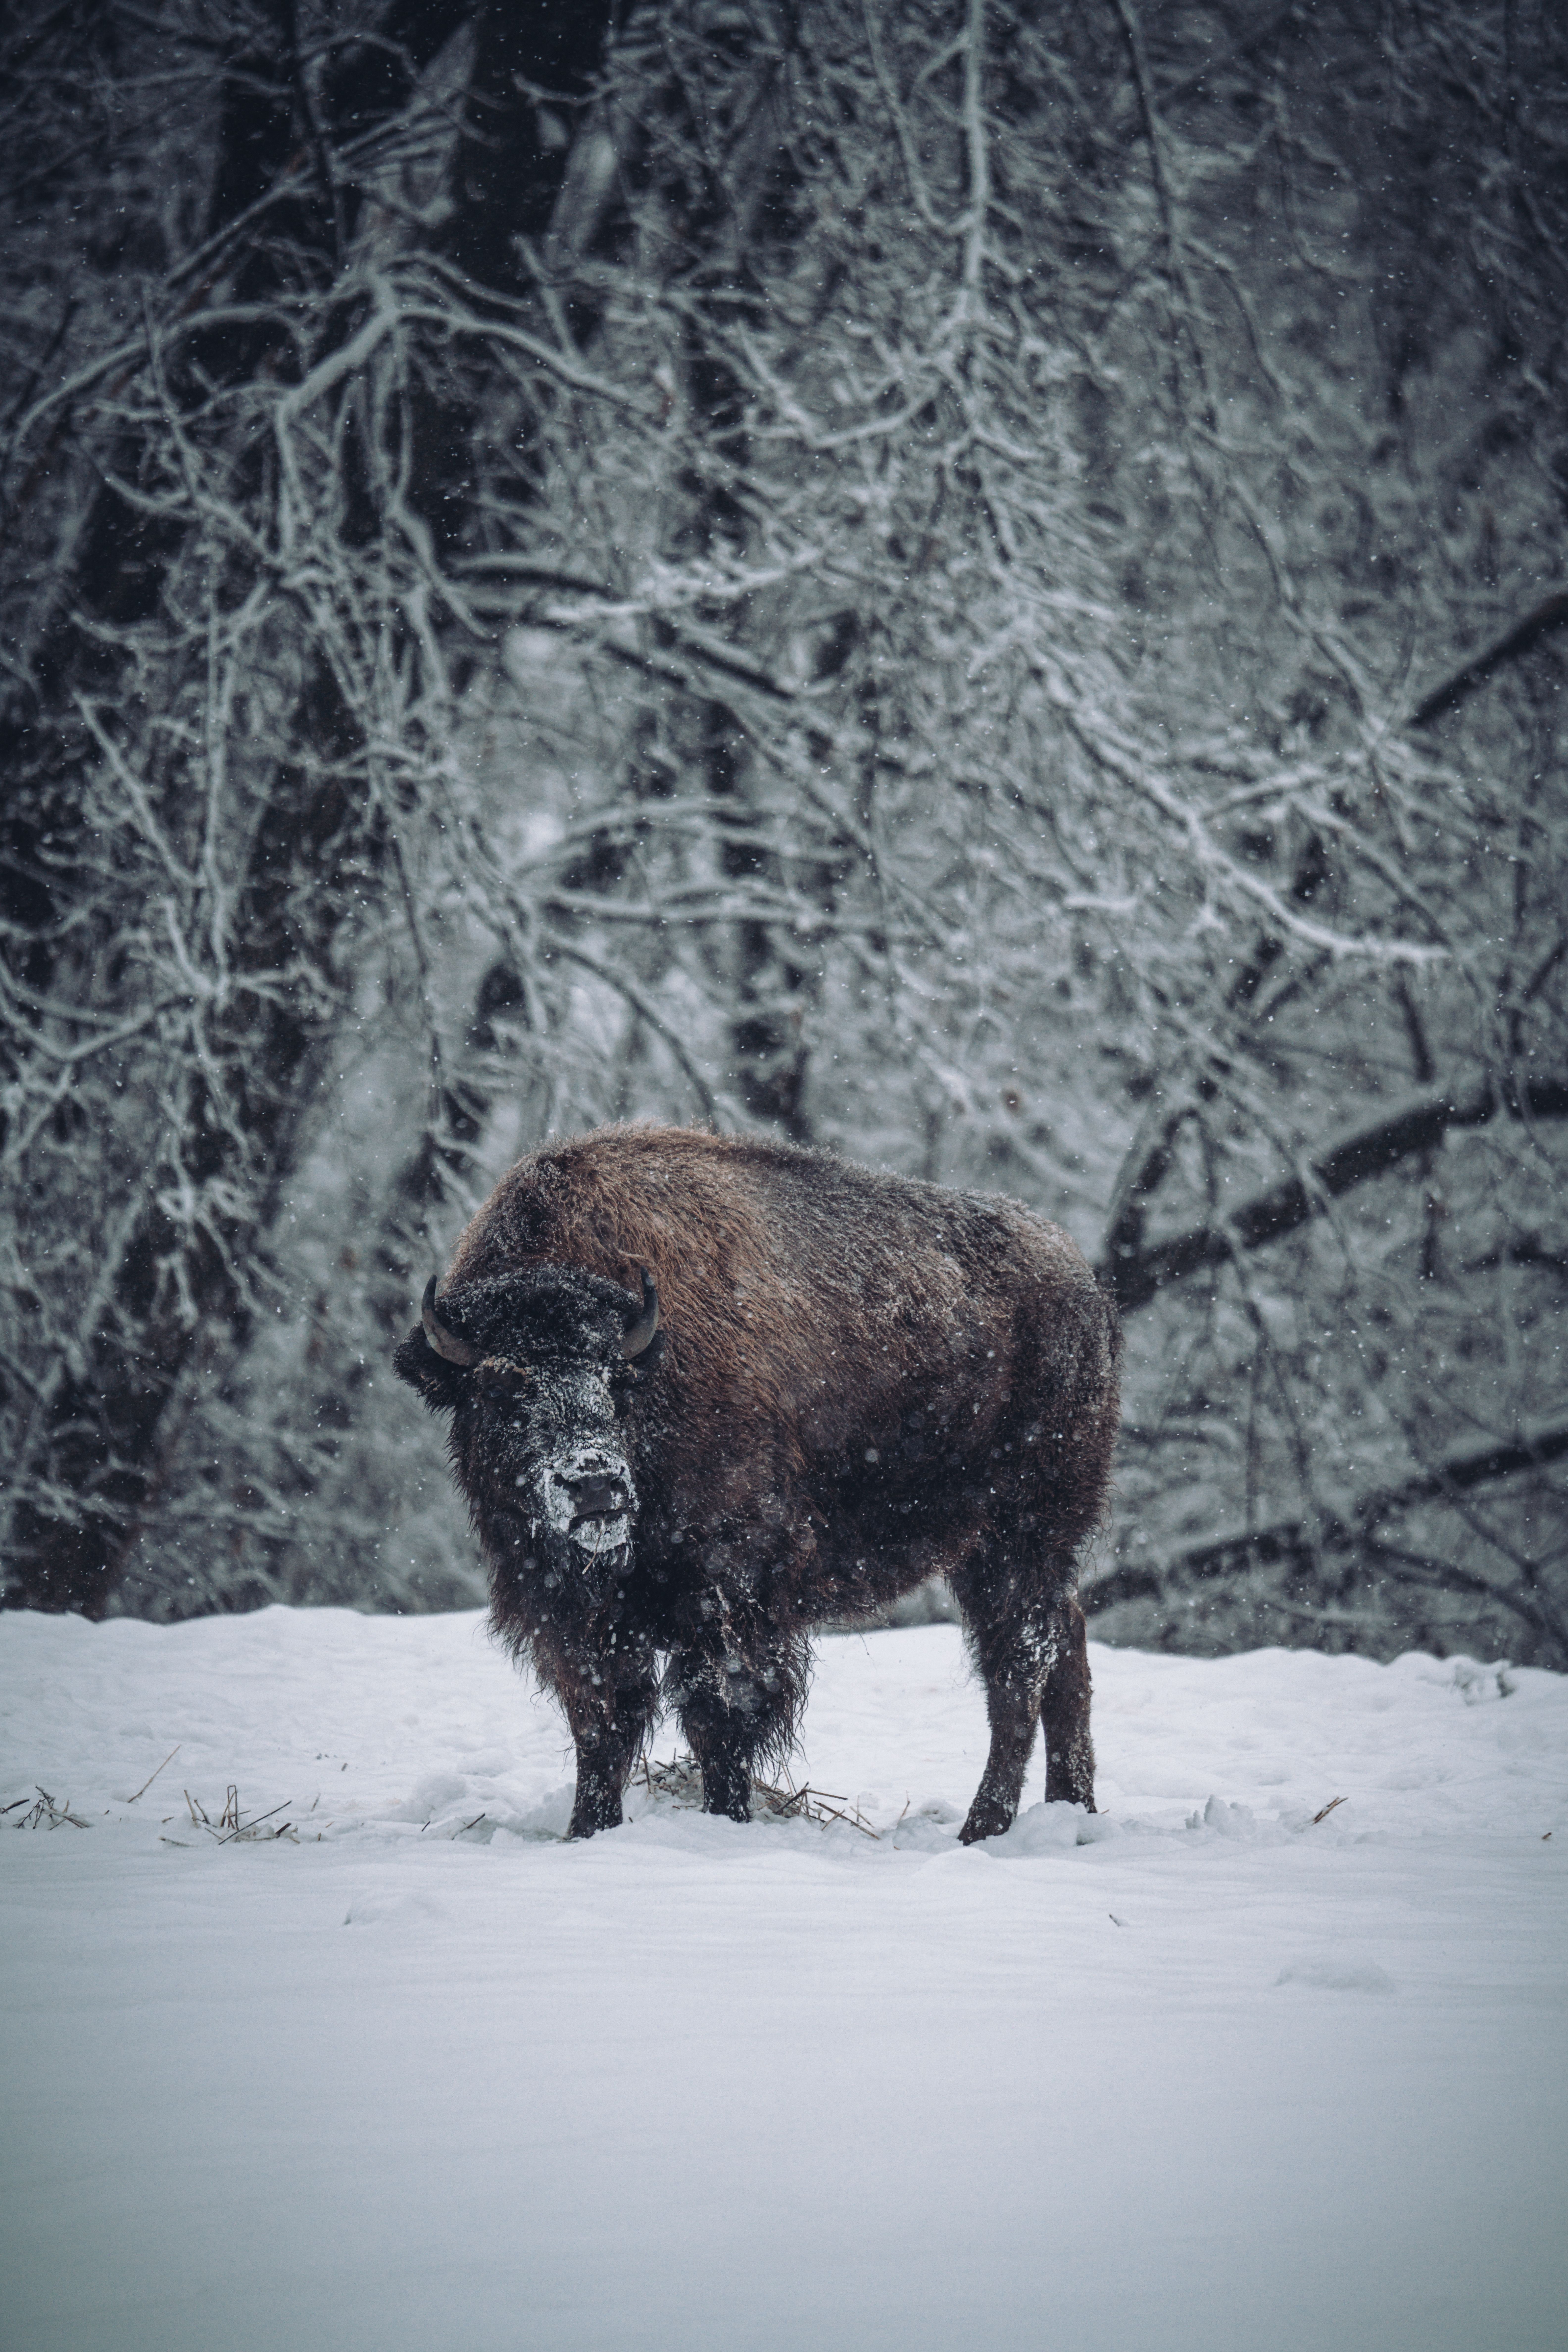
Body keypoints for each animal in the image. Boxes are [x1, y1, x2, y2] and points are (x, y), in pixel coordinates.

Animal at [394, 1124, 1121, 1841]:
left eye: (616, 1381)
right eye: (499, 1386)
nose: (596, 1485)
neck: (652, 1354)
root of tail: (1086, 1288)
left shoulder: (731, 1590)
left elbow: (719, 1712)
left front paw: (727, 1820)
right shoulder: (575, 1613)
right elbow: (603, 1721)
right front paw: (587, 1831)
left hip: (1021, 1532)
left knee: (1018, 1665)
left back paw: (983, 1827)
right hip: (995, 1548)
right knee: (1063, 1647)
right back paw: (1071, 1810)